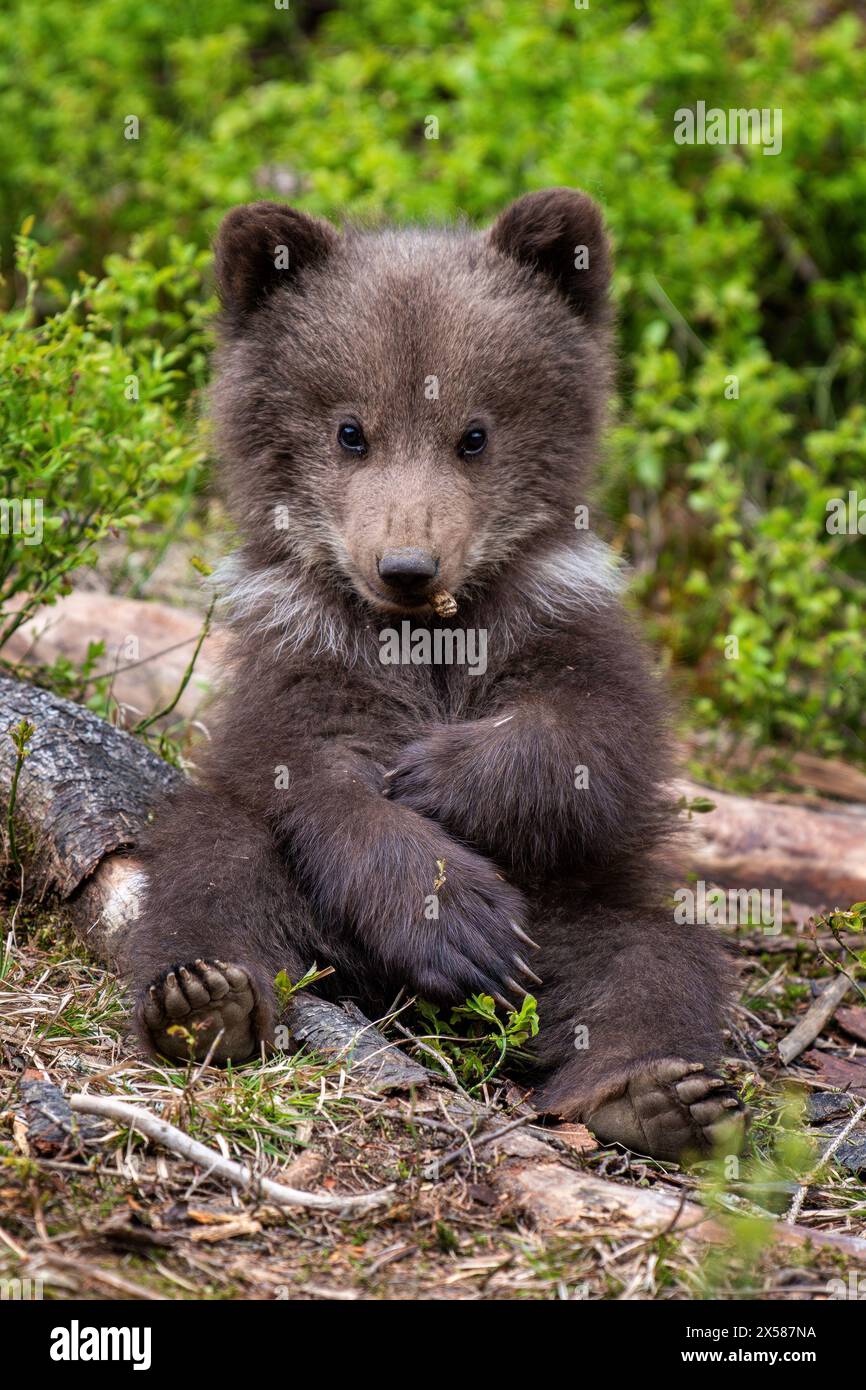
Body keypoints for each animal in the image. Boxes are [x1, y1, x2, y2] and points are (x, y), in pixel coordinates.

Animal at [123, 188, 744, 1163]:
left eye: (474, 435)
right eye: (350, 431)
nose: (406, 566)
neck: (427, 639)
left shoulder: (562, 625)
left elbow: (596, 743)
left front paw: (433, 774)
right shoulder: (298, 660)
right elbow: (314, 778)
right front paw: (451, 915)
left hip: (578, 915)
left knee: (654, 964)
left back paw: (652, 1092)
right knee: (211, 866)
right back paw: (207, 1000)